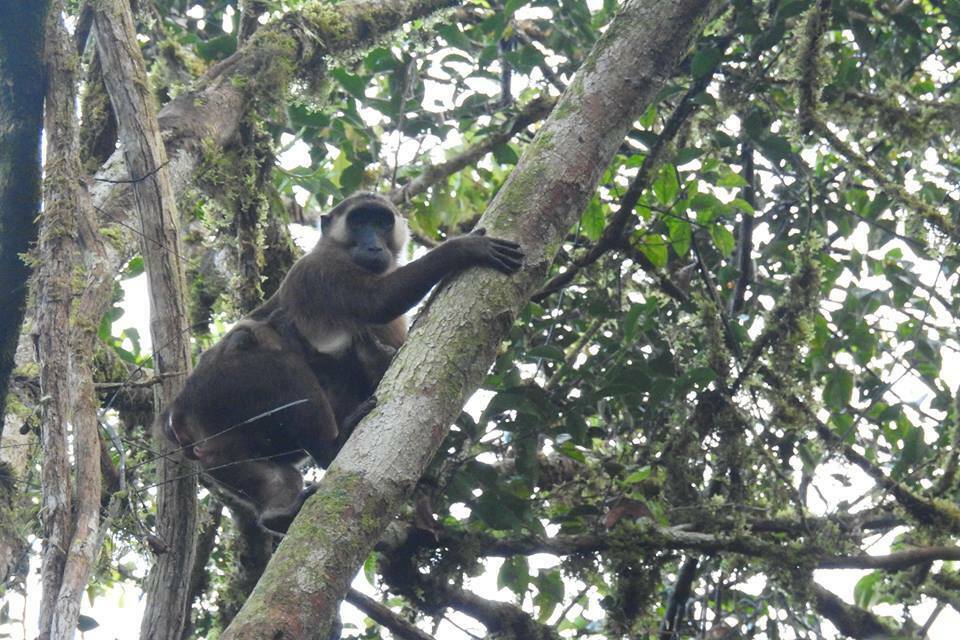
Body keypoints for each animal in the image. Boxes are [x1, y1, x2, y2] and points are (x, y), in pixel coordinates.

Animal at [161, 192, 524, 532]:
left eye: (381, 222)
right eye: (359, 221)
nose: (373, 244)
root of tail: (181, 409)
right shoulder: (316, 271)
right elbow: (379, 302)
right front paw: (464, 248)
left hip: (216, 444)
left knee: (266, 471)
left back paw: (278, 514)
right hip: (227, 382)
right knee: (278, 360)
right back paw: (331, 445)